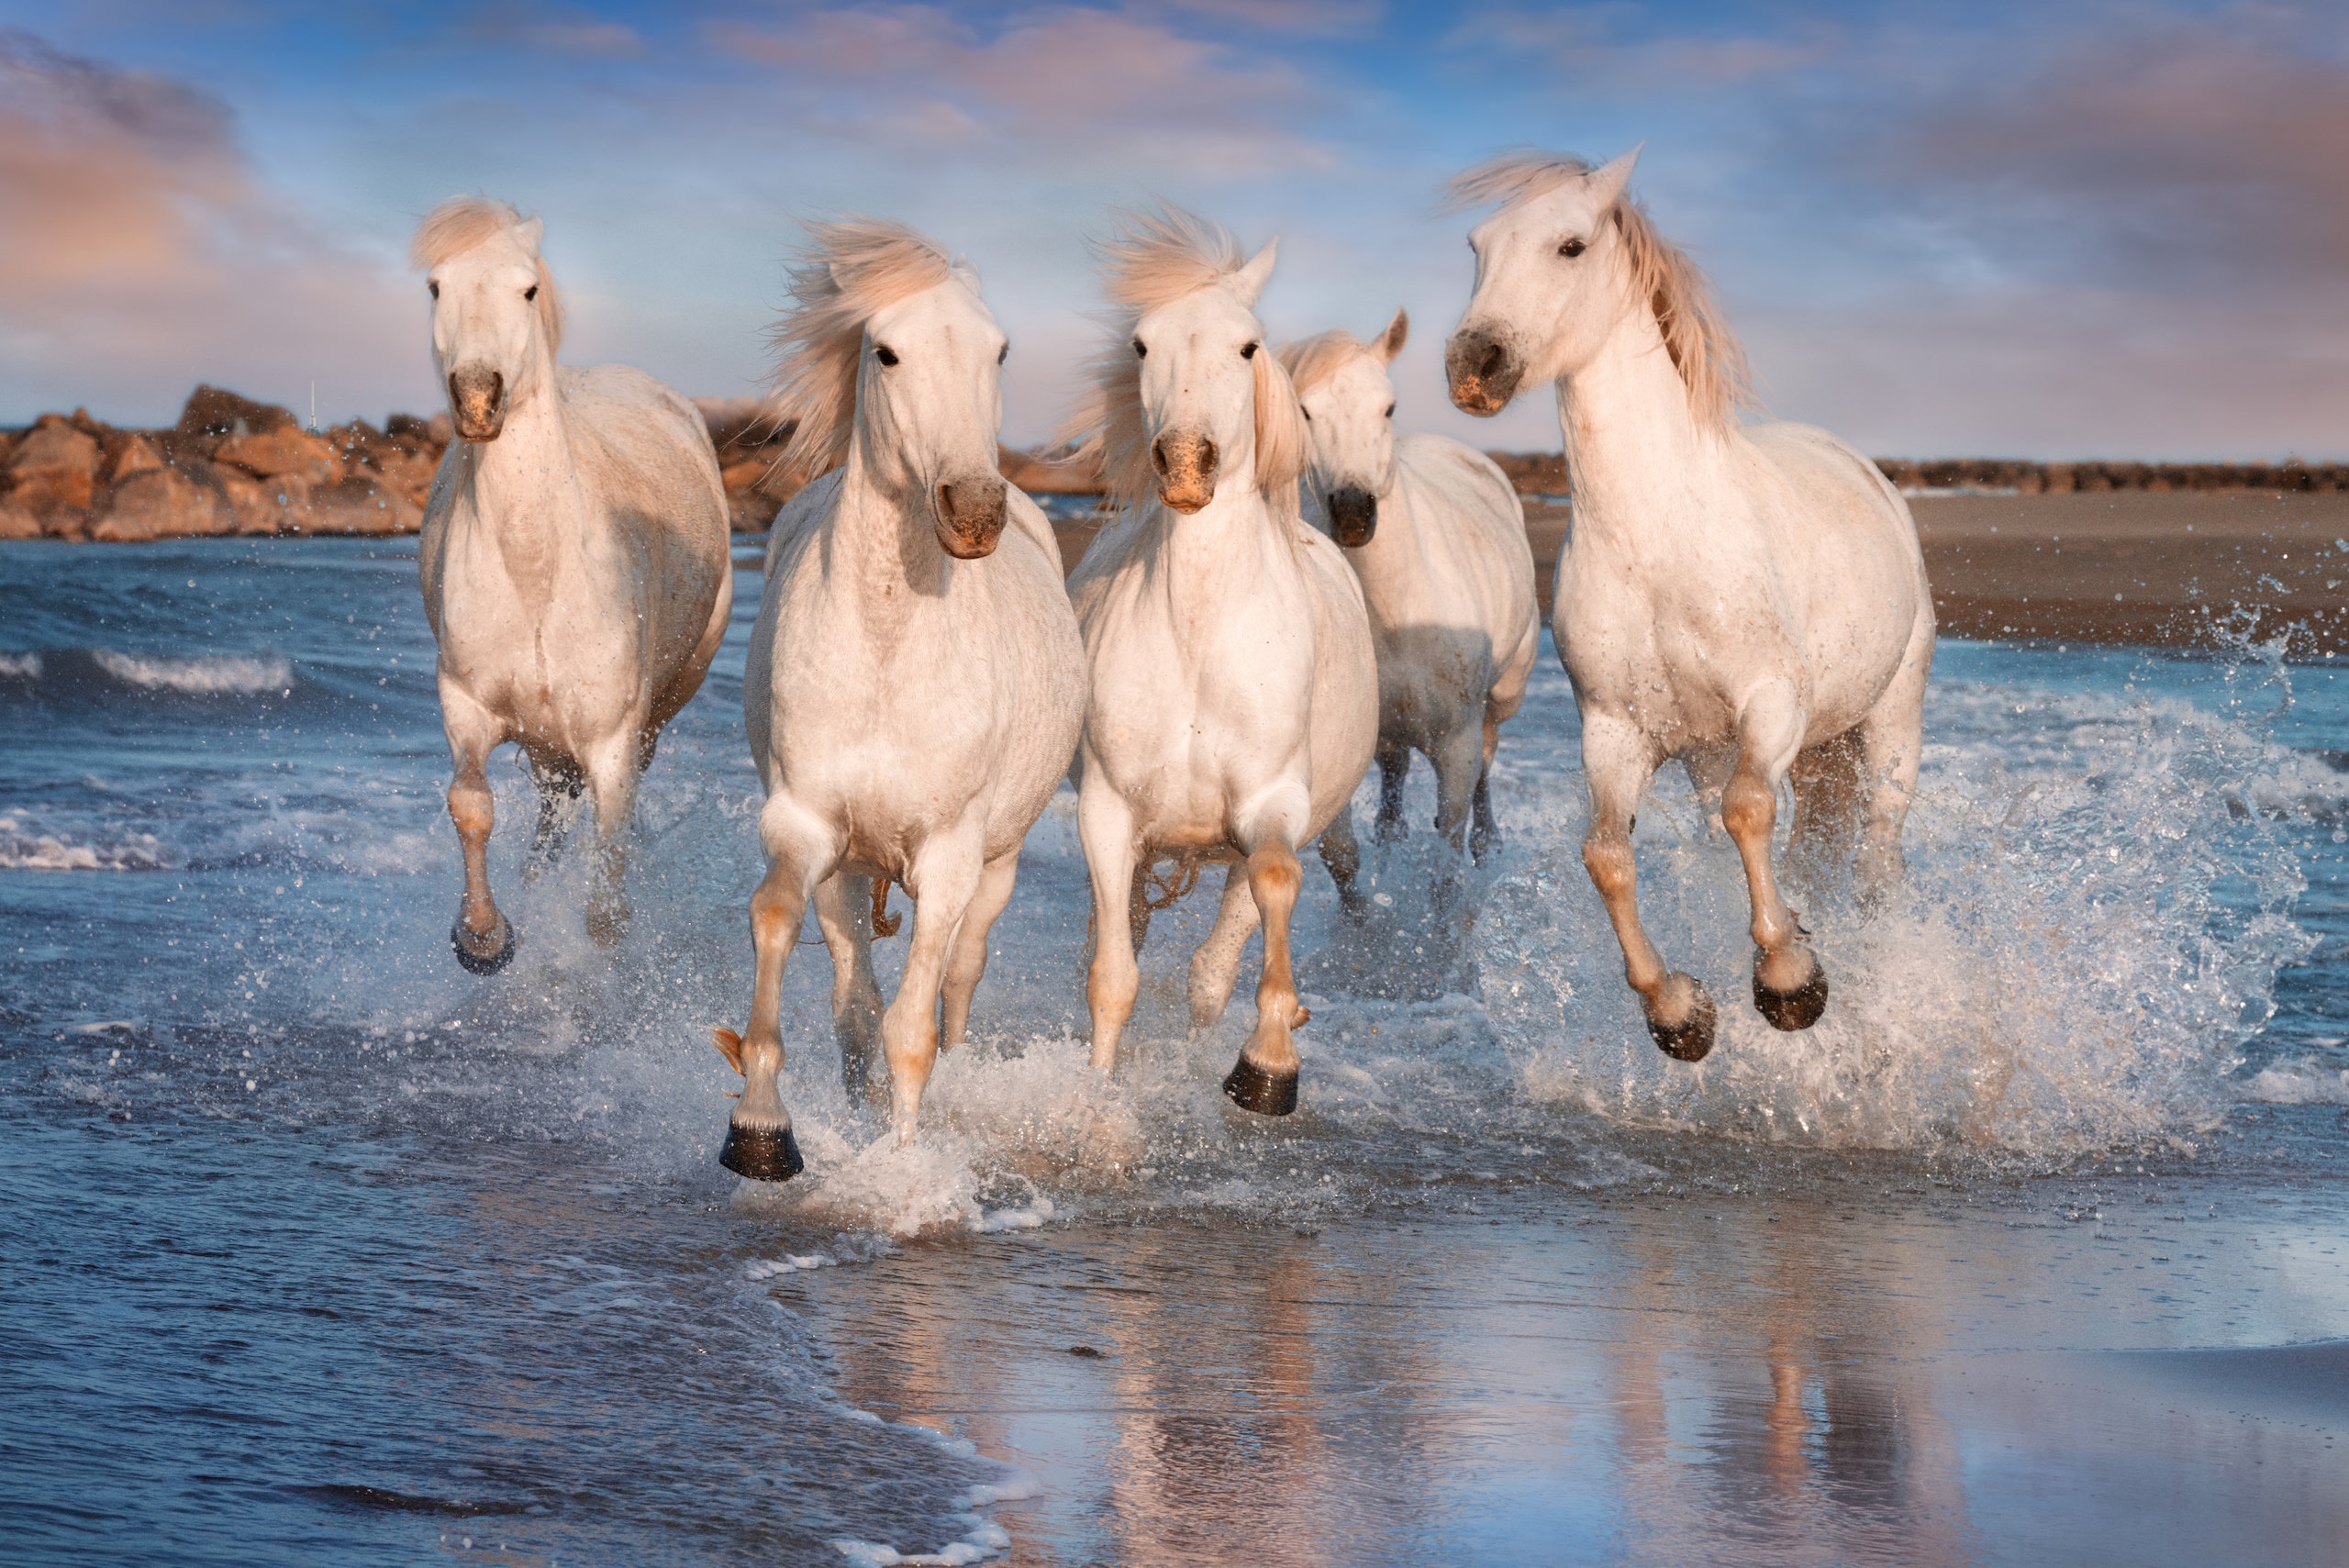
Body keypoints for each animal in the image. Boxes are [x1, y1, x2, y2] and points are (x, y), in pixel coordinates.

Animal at [412, 198, 732, 973]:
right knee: (549, 826)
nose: (477, 398)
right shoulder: (466, 705)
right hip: (544, 745)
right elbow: (471, 804)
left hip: (654, 715)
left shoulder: (613, 743)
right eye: (436, 286)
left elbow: (606, 901)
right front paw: (484, 936)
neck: (539, 570)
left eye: (528, 289)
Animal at [712, 220, 1086, 1181]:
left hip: (996, 864)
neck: (887, 651)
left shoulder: (950, 858)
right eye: (885, 352)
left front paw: (907, 1168)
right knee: (857, 994)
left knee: (957, 979)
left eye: (1000, 350)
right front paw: (762, 1129)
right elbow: (787, 938)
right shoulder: (807, 825)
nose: (975, 510)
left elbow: (912, 1028)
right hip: (852, 872)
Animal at [1062, 206, 1378, 1117]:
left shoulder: (1274, 805)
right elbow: (1113, 976)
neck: (1198, 637)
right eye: (1141, 343)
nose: (1185, 462)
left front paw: (1267, 1066)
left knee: (1217, 962)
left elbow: (1265, 896)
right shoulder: (1108, 814)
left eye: (1246, 346)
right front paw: (1096, 1095)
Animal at [1278, 309, 1538, 906]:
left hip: (1500, 699)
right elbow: (1342, 856)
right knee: (1393, 794)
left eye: (1388, 407)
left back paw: (1488, 844)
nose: (1354, 513)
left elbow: (1445, 860)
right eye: (1305, 411)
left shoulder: (1456, 746)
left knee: (1488, 763)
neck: (1394, 616)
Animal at [1443, 148, 1933, 1063]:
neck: (1659, 537)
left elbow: (1752, 810)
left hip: (1892, 721)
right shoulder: (1615, 730)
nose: (1474, 365)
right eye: (1476, 246)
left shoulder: (1773, 703)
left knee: (1877, 856)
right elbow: (1607, 855)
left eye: (1570, 245)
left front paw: (1791, 981)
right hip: (1721, 751)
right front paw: (1680, 1011)